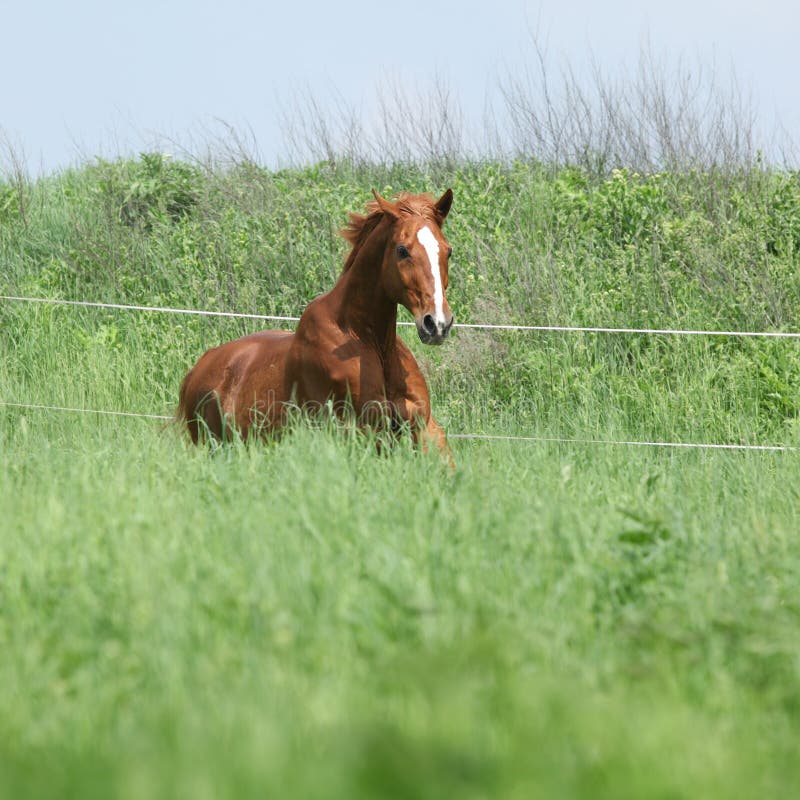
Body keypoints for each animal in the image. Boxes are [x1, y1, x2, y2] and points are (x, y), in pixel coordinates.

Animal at [177, 188, 455, 459]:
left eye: (448, 250)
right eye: (402, 250)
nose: (437, 324)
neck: (368, 341)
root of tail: (197, 370)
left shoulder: (425, 428)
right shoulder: (360, 429)